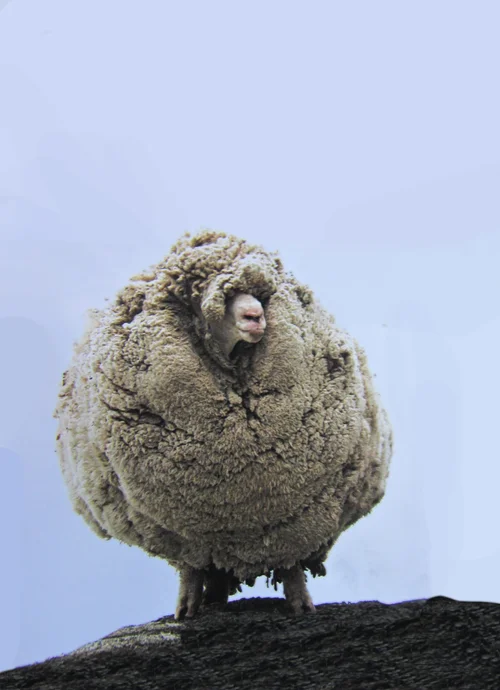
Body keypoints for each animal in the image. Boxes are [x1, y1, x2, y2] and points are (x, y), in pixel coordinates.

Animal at [54, 229, 393, 619]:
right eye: (207, 297)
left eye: (261, 294)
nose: (255, 316)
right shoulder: (184, 532)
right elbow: (190, 568)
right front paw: (186, 608)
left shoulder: (297, 521)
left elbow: (292, 563)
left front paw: (300, 604)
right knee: (210, 565)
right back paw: (209, 599)